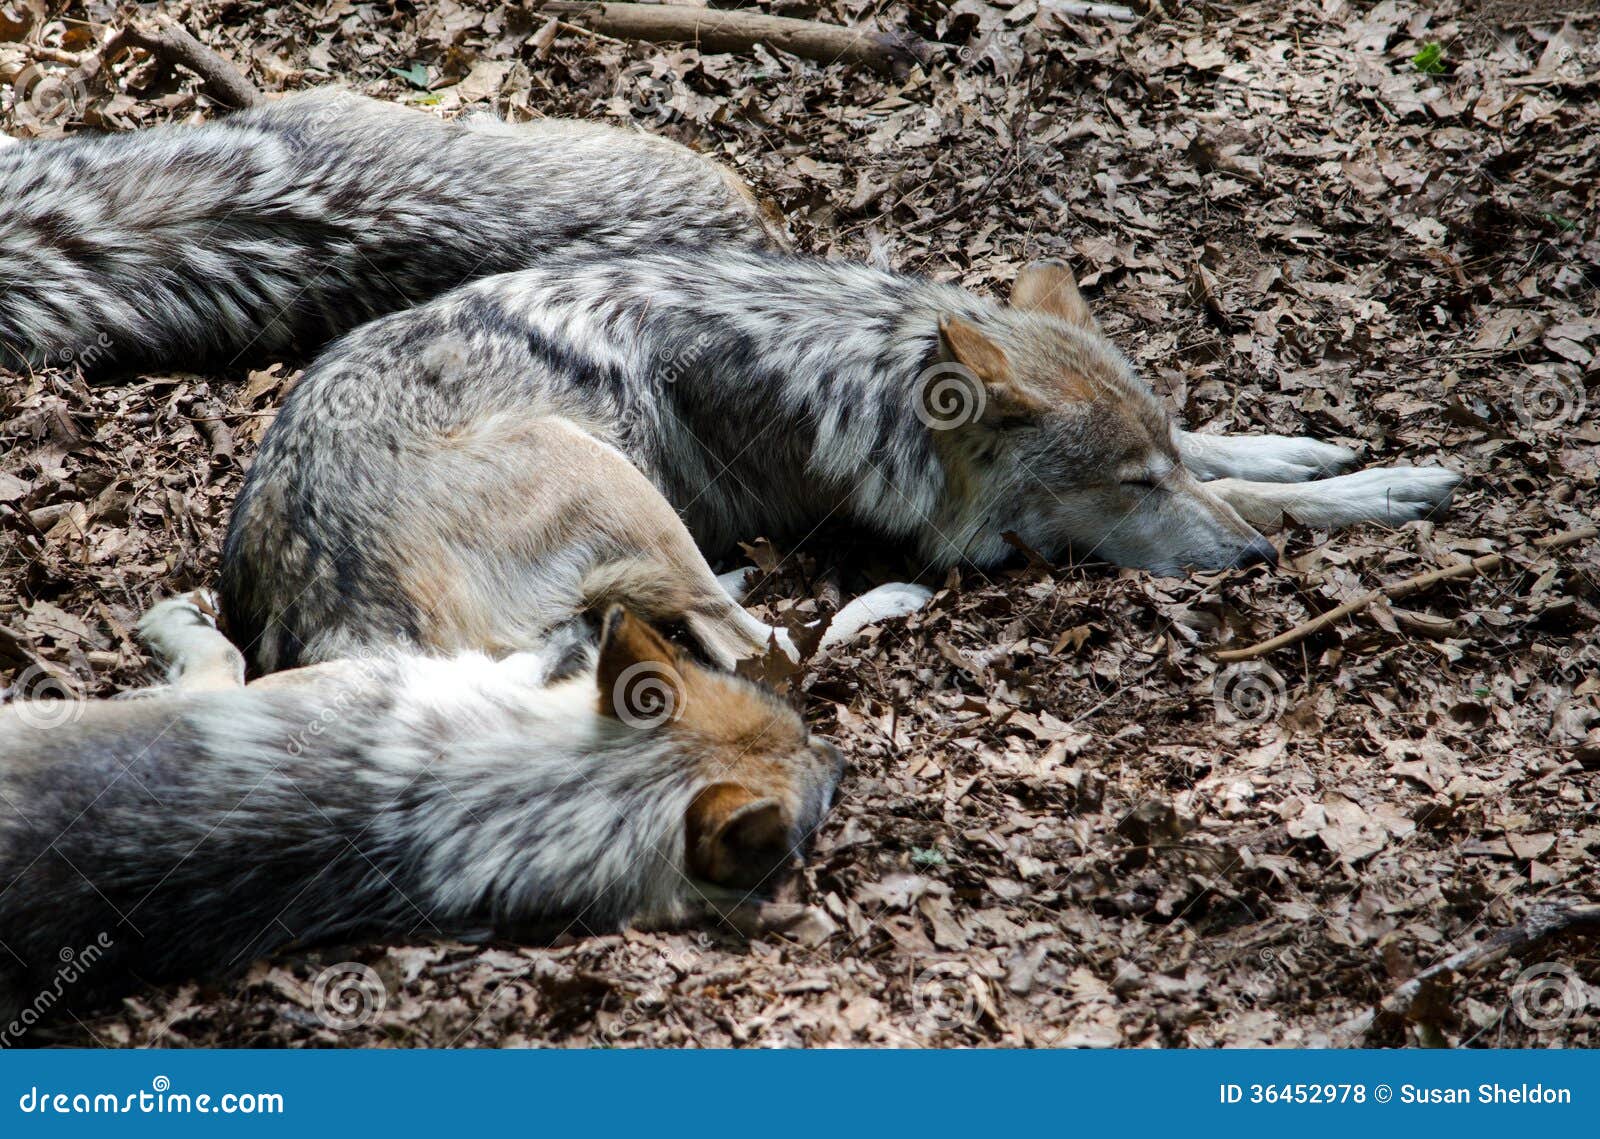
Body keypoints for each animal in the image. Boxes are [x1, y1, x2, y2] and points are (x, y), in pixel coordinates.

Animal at [217, 246, 1459, 672]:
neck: (871, 363)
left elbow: (1226, 444)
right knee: (763, 644)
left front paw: (1340, 460)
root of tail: (324, 602)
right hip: (595, 465)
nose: (1248, 564)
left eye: (1155, 469)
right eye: (1128, 487)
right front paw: (1351, 496)